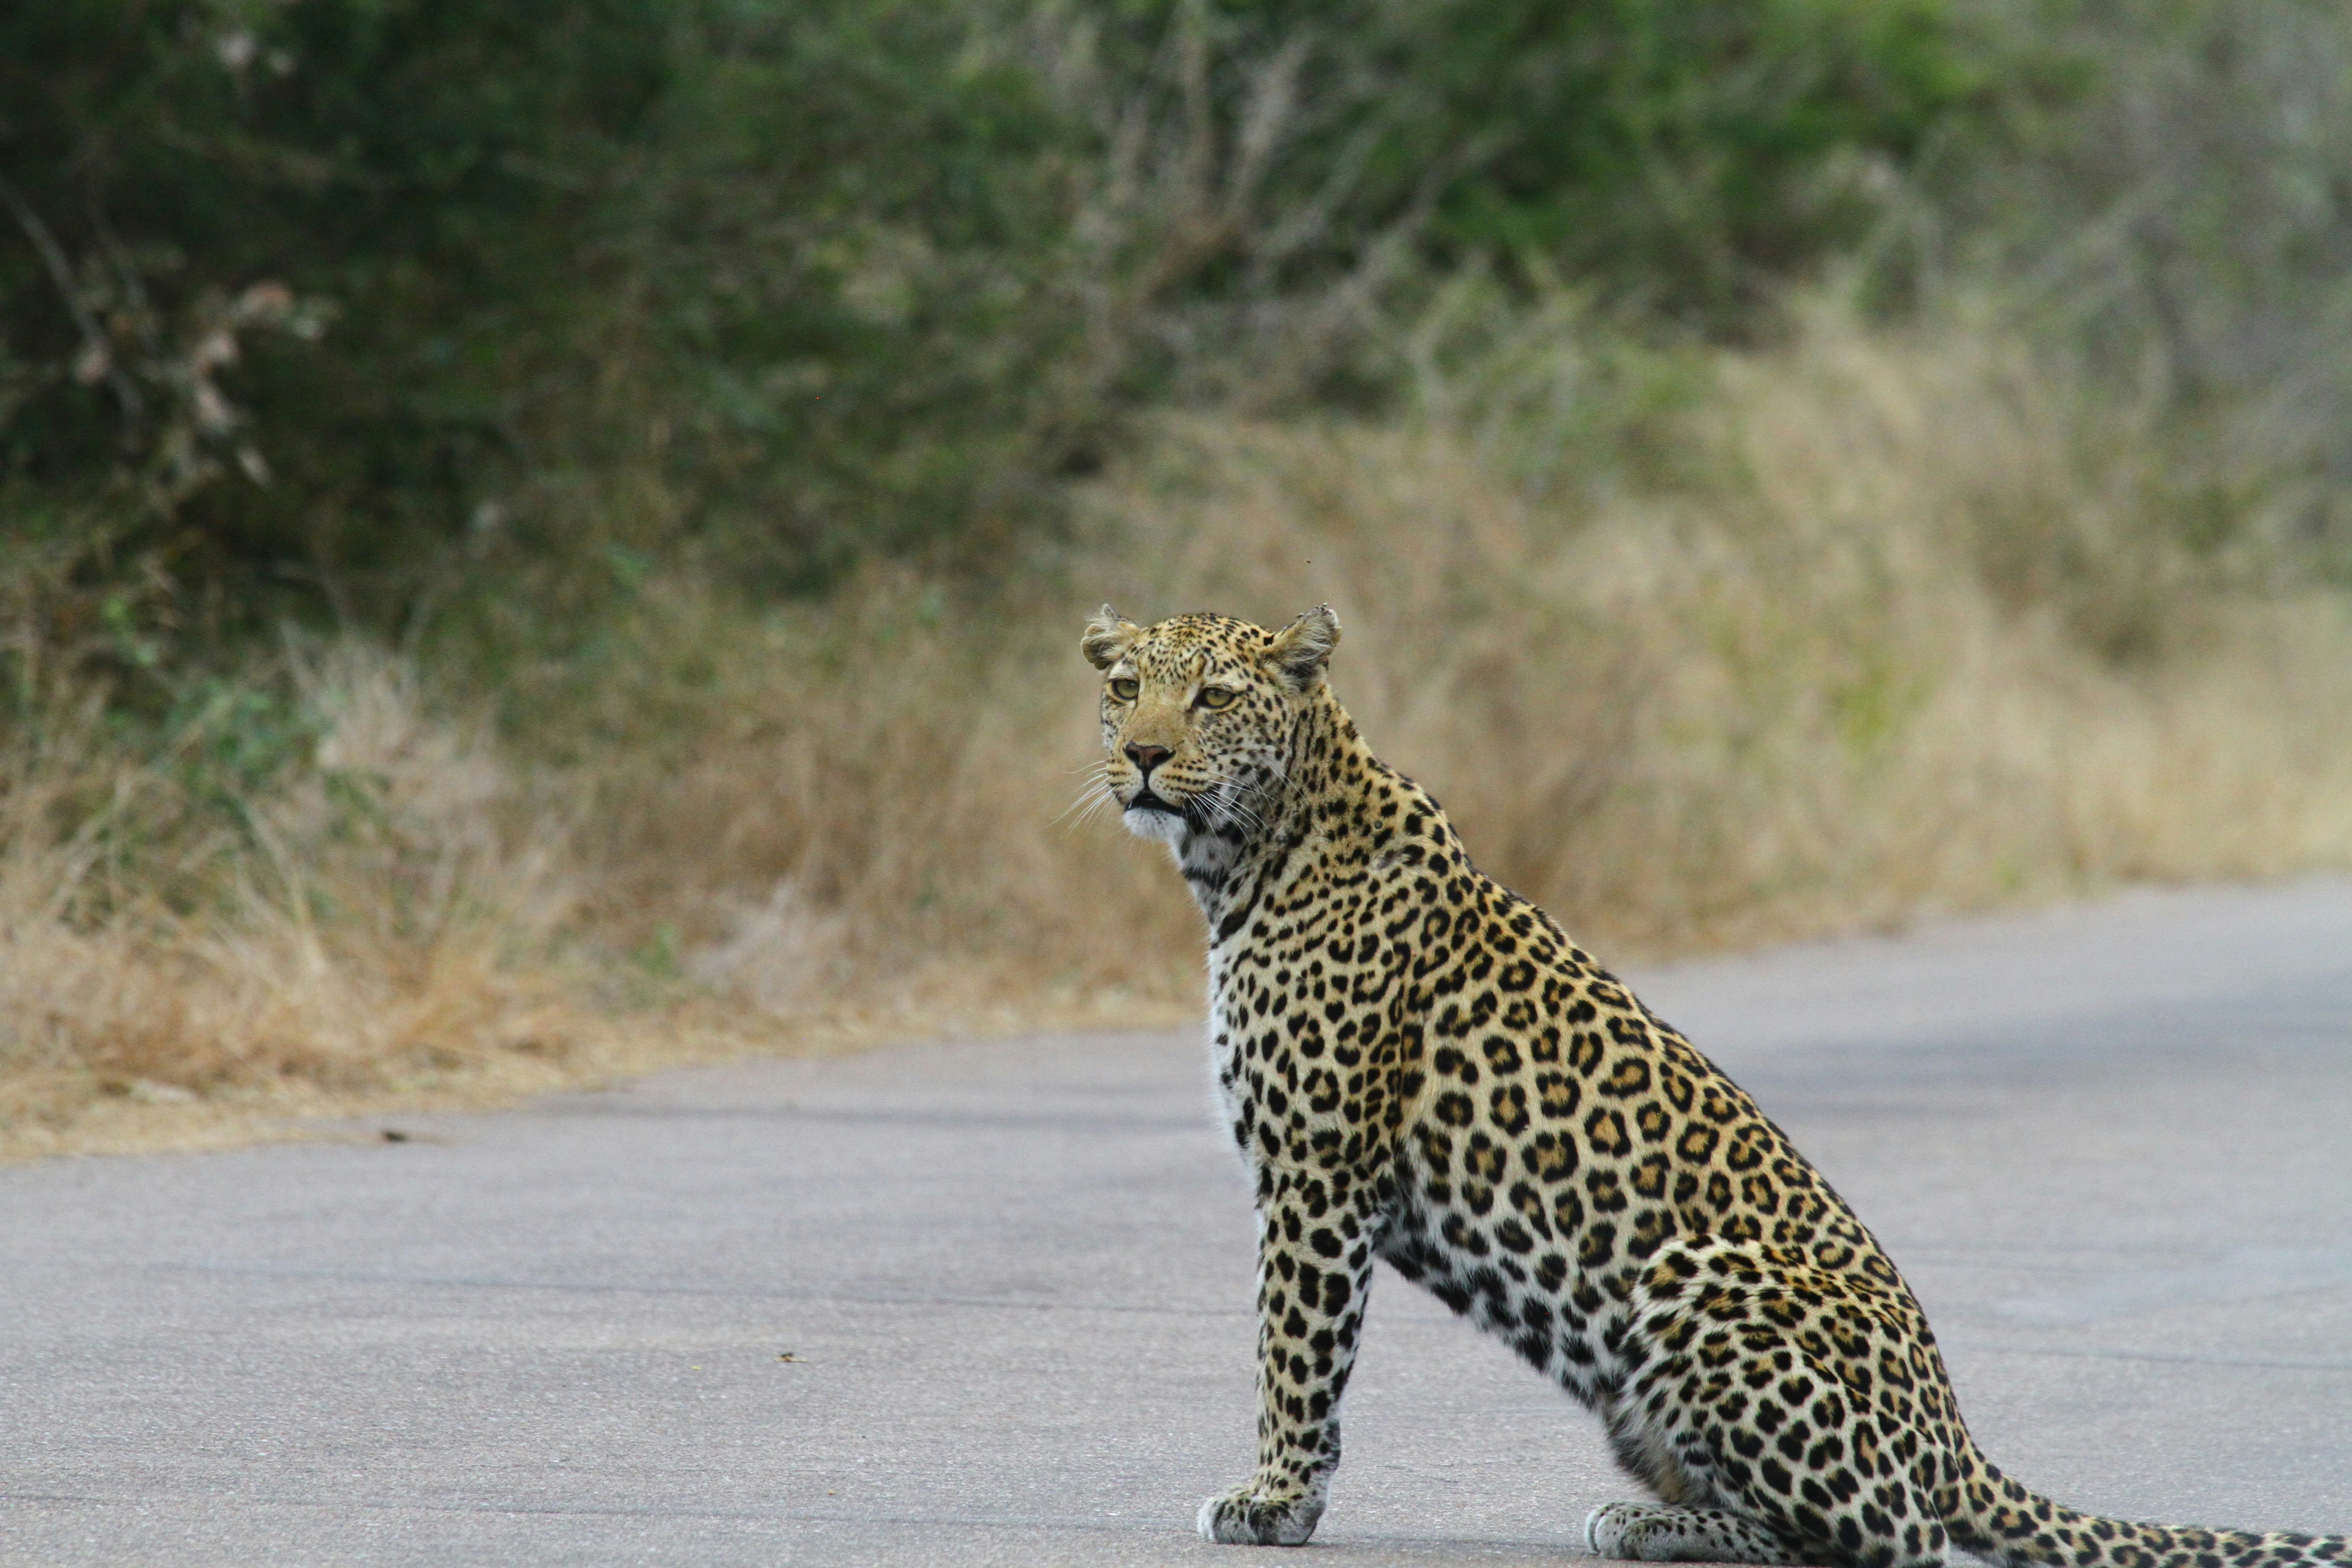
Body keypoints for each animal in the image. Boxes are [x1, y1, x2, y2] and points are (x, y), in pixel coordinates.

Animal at [1081, 602, 2348, 1568]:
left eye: (1212, 699)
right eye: (1127, 689)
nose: (1139, 757)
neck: (1240, 862)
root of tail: (1951, 1428)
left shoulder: (1318, 1171)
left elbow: (1295, 1353)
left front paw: (1273, 1500)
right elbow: (1302, 1350)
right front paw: (1283, 1496)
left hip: (1698, 1274)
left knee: (1886, 1536)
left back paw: (1646, 1526)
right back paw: (1656, 1515)